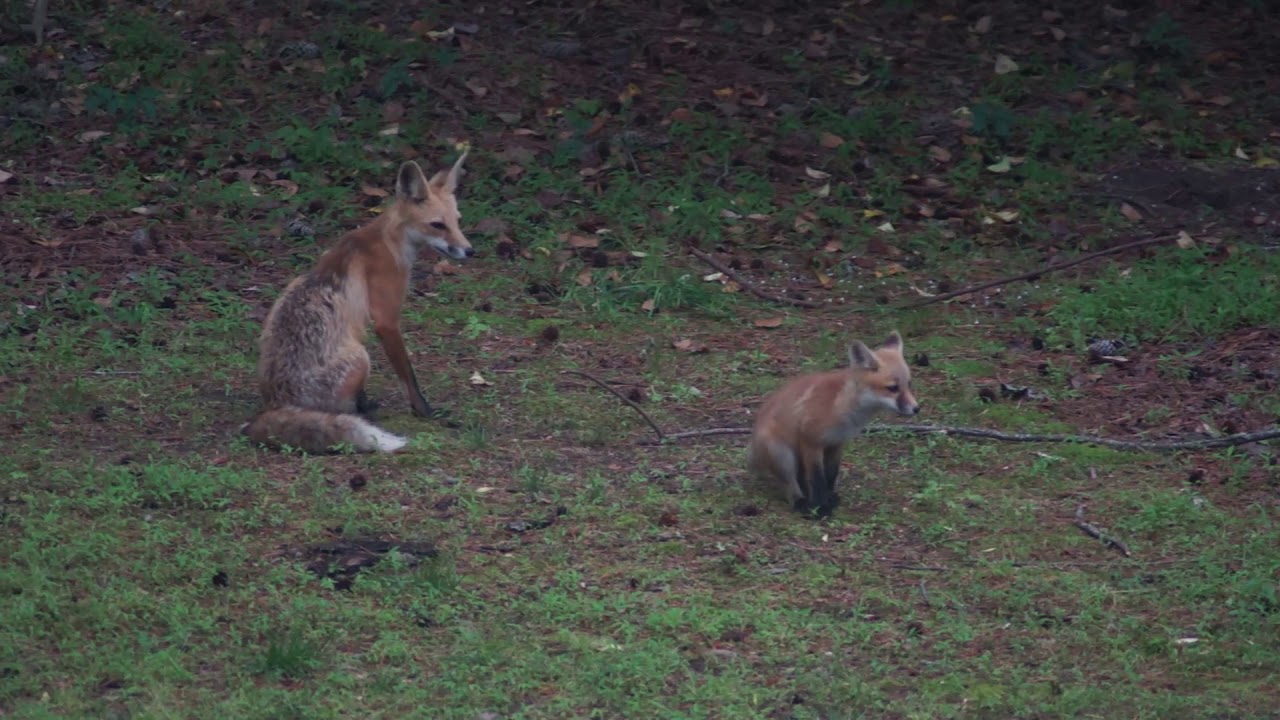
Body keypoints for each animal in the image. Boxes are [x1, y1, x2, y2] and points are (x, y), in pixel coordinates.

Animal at [240, 150, 474, 454]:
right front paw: (425, 412)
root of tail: (274, 405)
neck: (389, 241)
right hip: (361, 357)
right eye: (437, 225)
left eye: (457, 221)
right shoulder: (387, 320)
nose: (470, 251)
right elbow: (408, 375)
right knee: (342, 410)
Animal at [746, 331, 920, 517]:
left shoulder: (837, 442)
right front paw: (820, 508)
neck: (841, 407)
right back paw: (801, 503)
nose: (917, 408)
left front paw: (829, 498)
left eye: (909, 384)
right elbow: (817, 479)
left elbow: (830, 475)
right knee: (790, 485)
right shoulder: (811, 441)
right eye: (893, 388)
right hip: (783, 456)